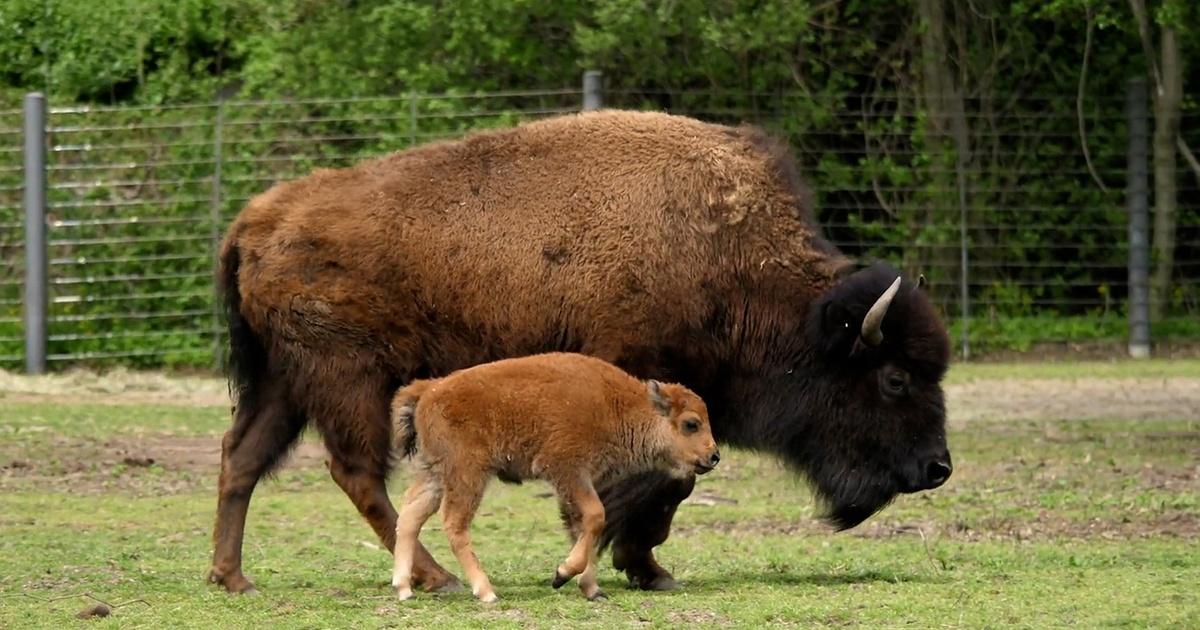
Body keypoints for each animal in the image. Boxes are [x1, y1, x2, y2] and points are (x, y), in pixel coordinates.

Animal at [209, 110, 952, 595]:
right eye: (893, 378)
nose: (937, 467)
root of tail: (254, 220)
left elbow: (670, 482)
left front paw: (644, 570)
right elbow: (661, 481)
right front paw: (612, 563)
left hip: (283, 382)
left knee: (243, 458)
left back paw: (232, 577)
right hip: (349, 379)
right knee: (358, 473)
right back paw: (436, 578)